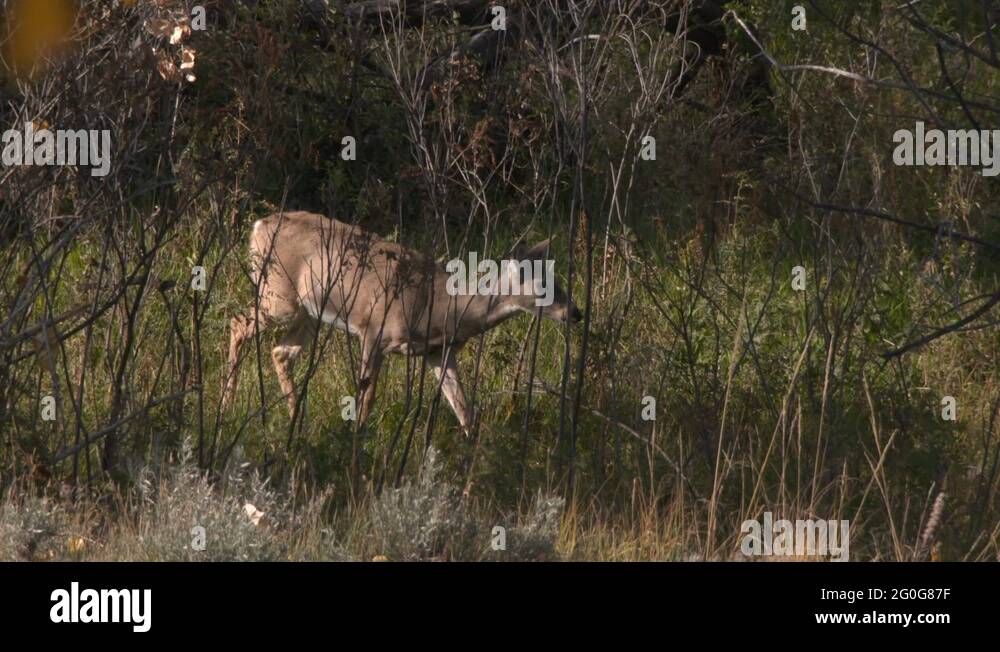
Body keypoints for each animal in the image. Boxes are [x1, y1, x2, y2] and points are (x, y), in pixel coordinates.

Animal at [221, 211, 582, 435]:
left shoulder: (438, 352)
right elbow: (366, 400)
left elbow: (463, 407)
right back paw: (227, 406)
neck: (444, 309)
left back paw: (296, 419)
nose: (575, 313)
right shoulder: (373, 331)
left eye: (557, 276)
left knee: (280, 352)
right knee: (238, 323)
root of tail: (258, 226)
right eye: (542, 284)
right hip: (278, 296)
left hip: (308, 313)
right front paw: (355, 442)